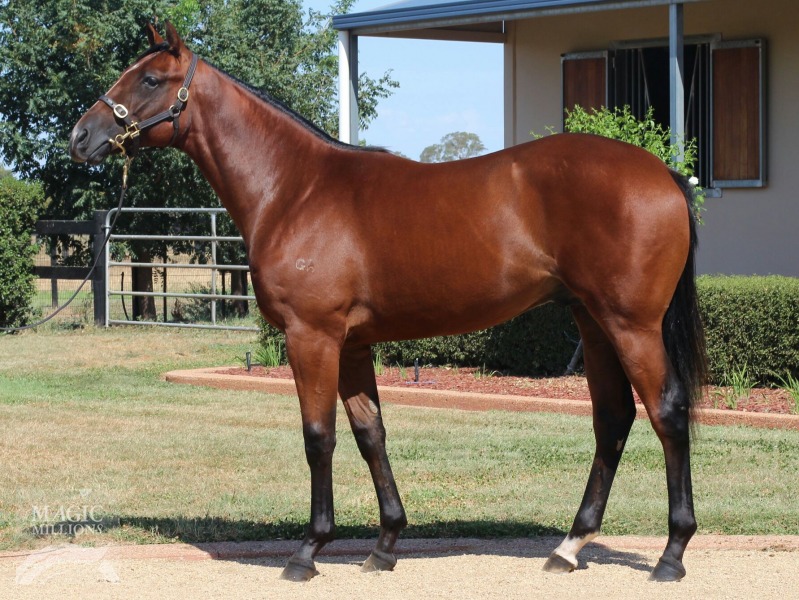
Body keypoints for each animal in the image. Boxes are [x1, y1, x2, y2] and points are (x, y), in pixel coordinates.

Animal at [70, 22, 706, 583]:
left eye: (151, 78)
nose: (80, 137)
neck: (295, 190)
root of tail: (664, 174)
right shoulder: (352, 345)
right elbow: (370, 434)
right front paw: (385, 546)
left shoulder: (312, 337)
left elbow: (319, 436)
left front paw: (308, 551)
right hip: (593, 322)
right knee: (613, 419)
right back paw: (568, 548)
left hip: (632, 325)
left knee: (667, 413)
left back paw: (672, 554)